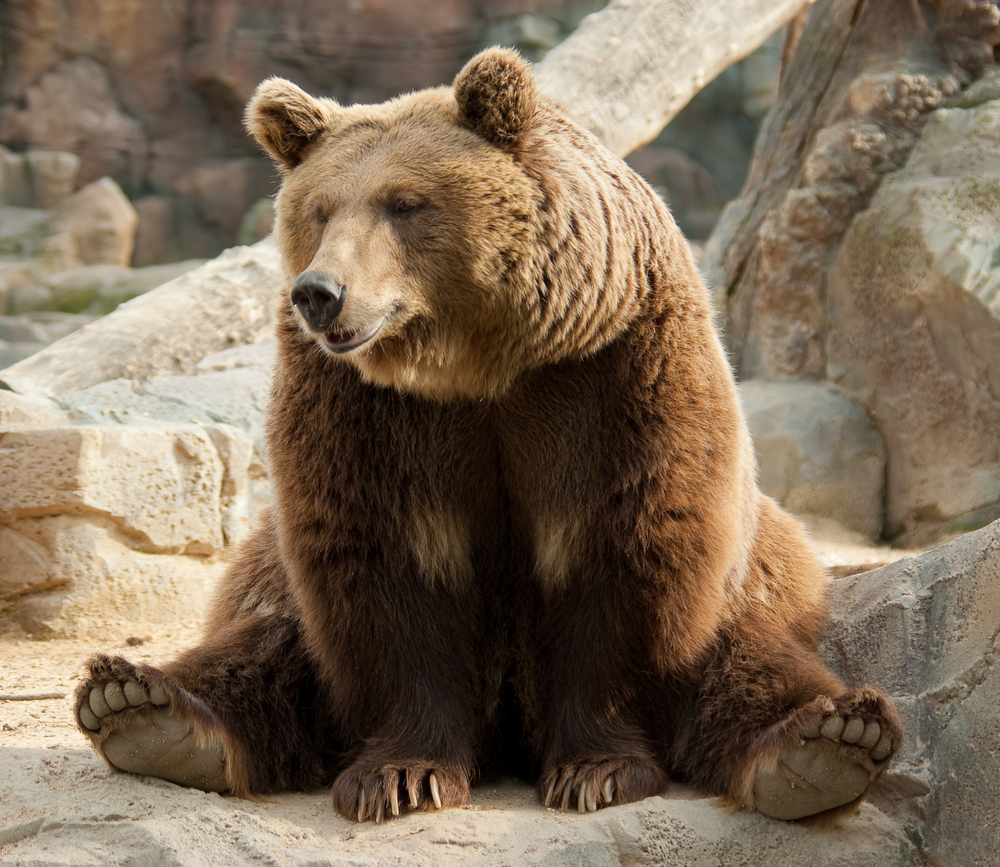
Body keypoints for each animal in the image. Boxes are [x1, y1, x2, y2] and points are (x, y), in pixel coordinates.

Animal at [75, 47, 902, 825]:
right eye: (318, 209)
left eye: (404, 203)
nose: (320, 293)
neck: (478, 365)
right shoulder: (368, 409)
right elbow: (388, 566)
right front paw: (401, 773)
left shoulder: (613, 372)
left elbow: (622, 548)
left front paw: (596, 770)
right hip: (269, 581)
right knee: (262, 649)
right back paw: (144, 707)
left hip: (762, 581)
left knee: (752, 666)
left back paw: (827, 740)